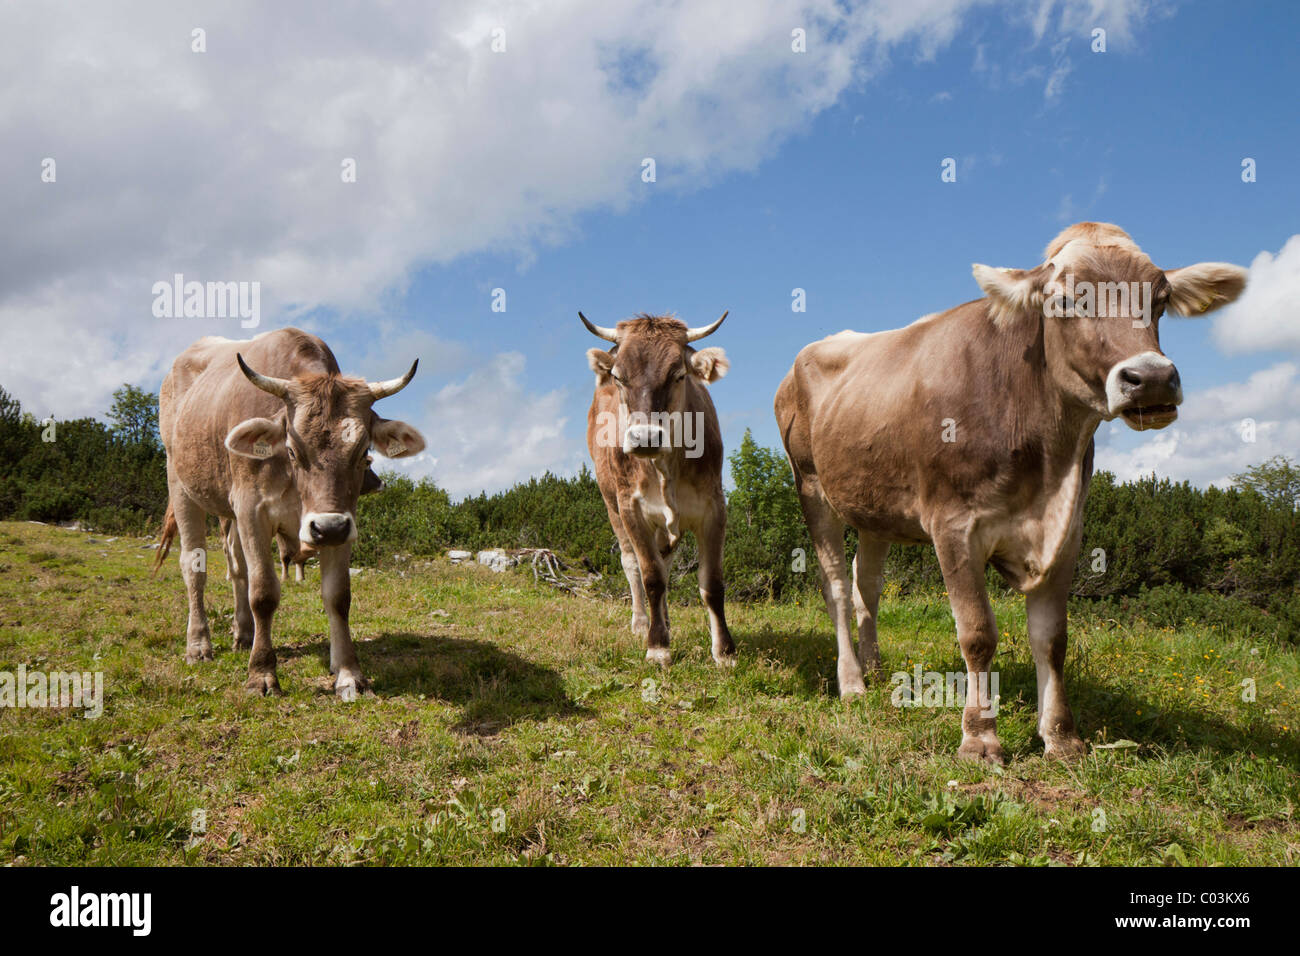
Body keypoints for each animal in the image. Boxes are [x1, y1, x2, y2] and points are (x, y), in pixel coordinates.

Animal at [157, 328, 426, 699]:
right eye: (293, 450)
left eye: (363, 452)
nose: (327, 529)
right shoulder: (252, 509)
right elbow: (264, 593)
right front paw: (261, 674)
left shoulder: (343, 519)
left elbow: (338, 596)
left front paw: (348, 674)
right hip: (182, 487)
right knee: (194, 567)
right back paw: (199, 645)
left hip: (231, 513)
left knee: (236, 566)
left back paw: (244, 634)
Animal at [581, 311, 736, 666]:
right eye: (619, 376)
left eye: (678, 375)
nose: (645, 438)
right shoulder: (632, 509)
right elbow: (651, 577)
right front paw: (657, 646)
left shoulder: (714, 508)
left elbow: (712, 583)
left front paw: (724, 651)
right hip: (612, 504)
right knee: (632, 564)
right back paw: (643, 623)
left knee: (665, 563)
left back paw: (663, 620)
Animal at [775, 223, 1247, 763]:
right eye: (1064, 299)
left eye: (1161, 300)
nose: (1150, 379)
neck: (1048, 465)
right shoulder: (953, 526)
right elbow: (978, 633)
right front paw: (980, 738)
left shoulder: (1067, 529)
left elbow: (1053, 638)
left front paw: (1061, 736)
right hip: (811, 485)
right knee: (835, 584)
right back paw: (852, 682)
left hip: (875, 507)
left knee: (865, 585)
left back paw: (875, 670)